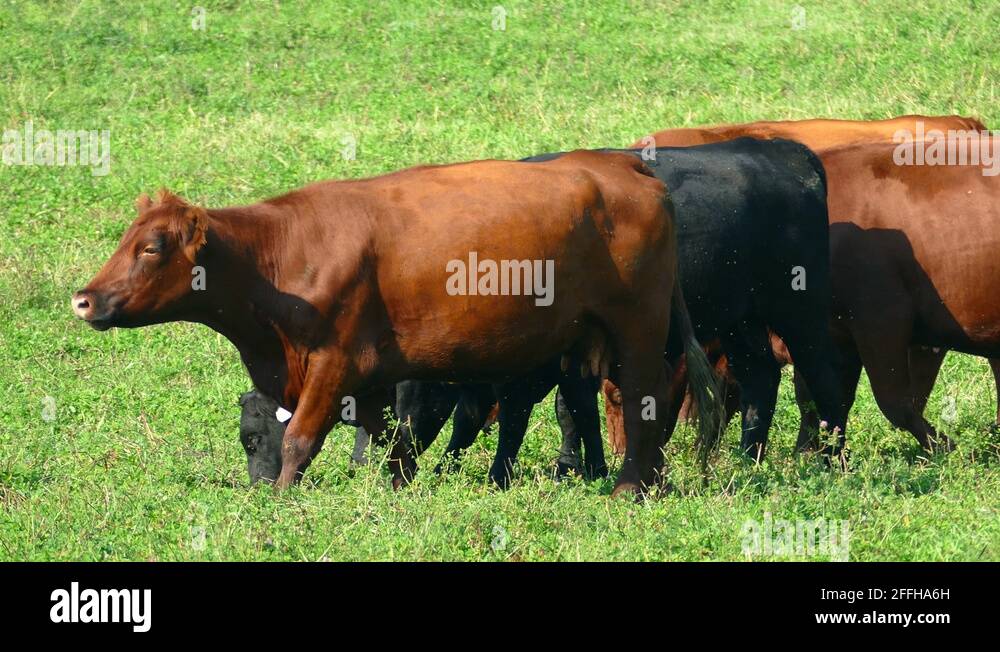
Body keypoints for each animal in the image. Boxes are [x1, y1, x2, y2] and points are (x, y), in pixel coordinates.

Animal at [72, 150, 722, 497]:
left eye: (152, 248)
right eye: (126, 239)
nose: (84, 300)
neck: (283, 254)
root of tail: (620, 163)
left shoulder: (331, 364)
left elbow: (300, 439)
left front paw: (279, 500)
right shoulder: (373, 375)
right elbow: (391, 442)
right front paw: (396, 490)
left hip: (637, 330)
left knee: (642, 400)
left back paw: (630, 487)